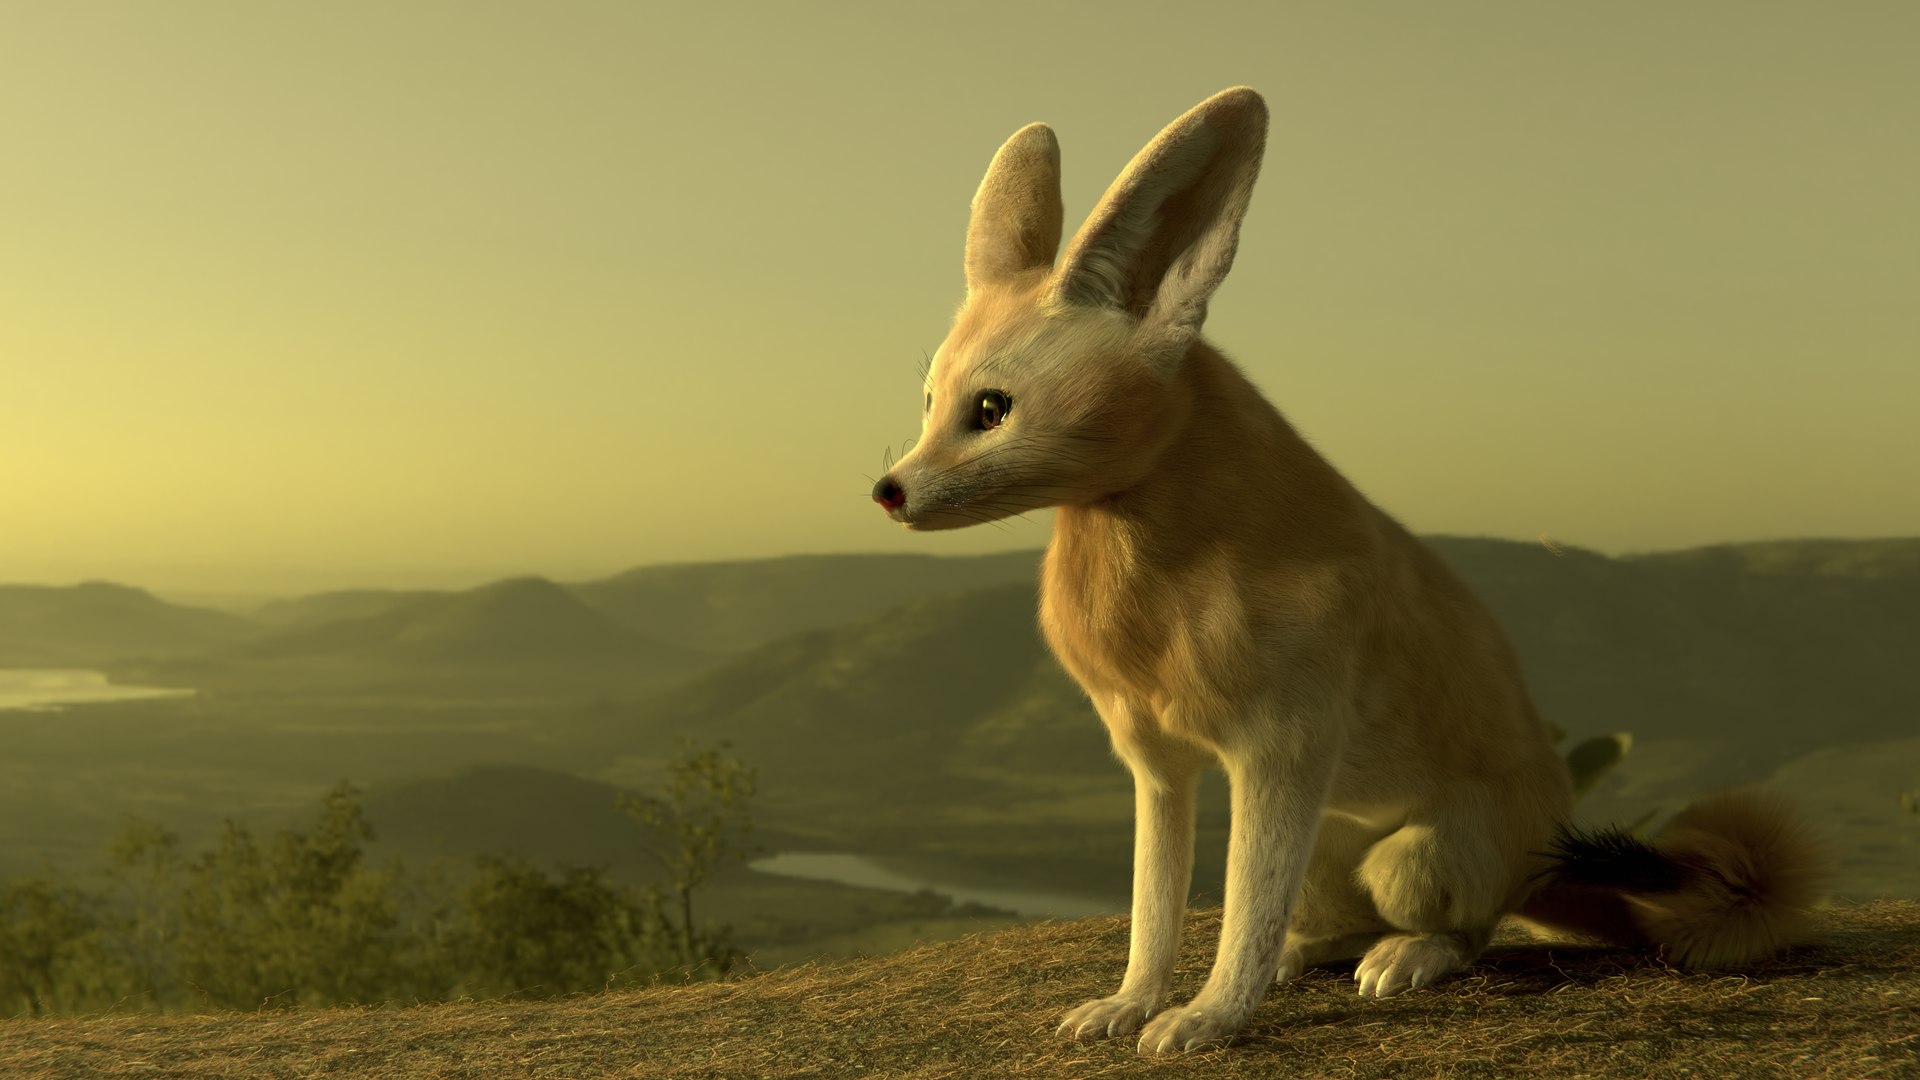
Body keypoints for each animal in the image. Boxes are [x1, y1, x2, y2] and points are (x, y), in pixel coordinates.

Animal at [870, 87, 1826, 1054]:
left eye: (992, 409)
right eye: (928, 402)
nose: (888, 490)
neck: (1166, 594)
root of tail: (1544, 850)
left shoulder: (1280, 752)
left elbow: (1241, 912)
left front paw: (1208, 1018)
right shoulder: (1157, 763)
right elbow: (1154, 908)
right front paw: (1131, 1003)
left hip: (1410, 857)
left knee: (1471, 927)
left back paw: (1407, 958)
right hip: (1334, 851)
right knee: (1332, 923)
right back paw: (1309, 954)